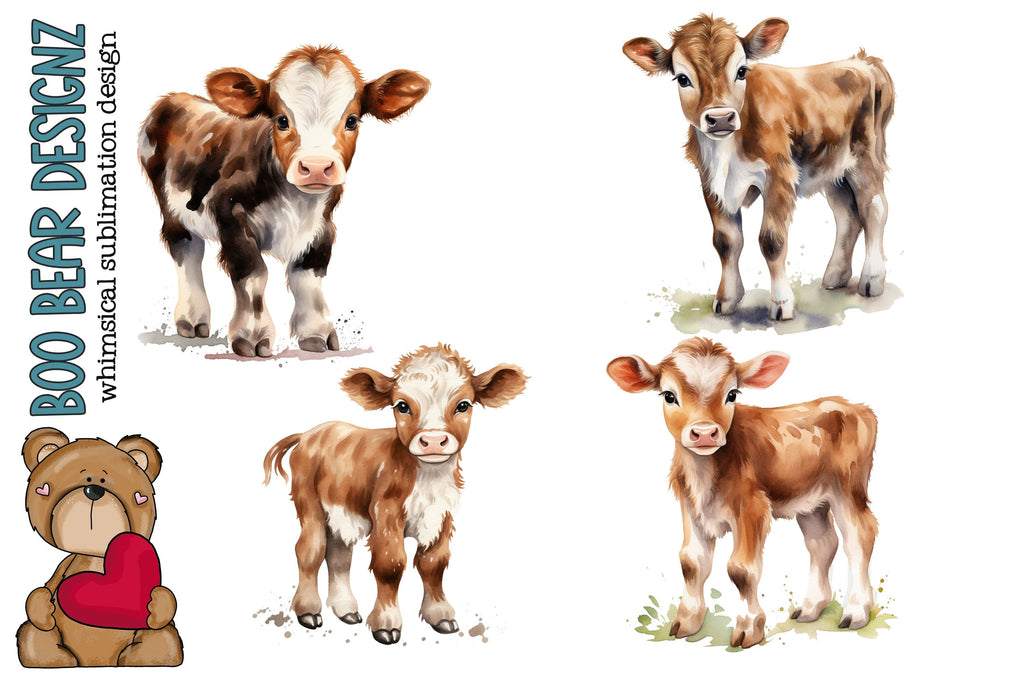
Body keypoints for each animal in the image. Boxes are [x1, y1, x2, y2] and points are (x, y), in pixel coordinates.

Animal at [139, 47, 429, 356]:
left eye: (352, 120)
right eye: (281, 120)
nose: (316, 167)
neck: (298, 205)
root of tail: (175, 97)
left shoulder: (323, 226)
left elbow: (309, 277)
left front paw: (316, 333)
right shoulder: (229, 213)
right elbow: (253, 273)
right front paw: (252, 335)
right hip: (169, 205)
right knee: (186, 248)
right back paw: (192, 319)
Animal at [263, 344, 527, 644]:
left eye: (463, 405)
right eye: (402, 405)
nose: (433, 440)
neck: (428, 478)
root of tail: (309, 433)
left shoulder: (442, 515)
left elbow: (434, 564)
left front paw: (439, 615)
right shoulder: (386, 512)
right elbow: (390, 565)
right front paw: (386, 622)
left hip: (341, 511)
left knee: (339, 554)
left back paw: (346, 610)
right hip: (309, 504)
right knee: (311, 550)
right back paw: (308, 611)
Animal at [607, 337, 878, 648]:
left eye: (732, 394)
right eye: (669, 395)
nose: (704, 433)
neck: (706, 477)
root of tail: (856, 406)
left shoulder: (752, 508)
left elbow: (741, 570)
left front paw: (749, 628)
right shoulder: (690, 507)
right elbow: (691, 562)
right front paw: (687, 621)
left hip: (848, 489)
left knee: (859, 537)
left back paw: (856, 612)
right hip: (811, 501)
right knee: (822, 543)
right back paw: (811, 608)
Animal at [623, 15, 895, 321]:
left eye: (741, 71)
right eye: (682, 78)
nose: (720, 118)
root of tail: (863, 62)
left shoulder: (778, 176)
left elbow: (772, 241)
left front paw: (782, 304)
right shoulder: (710, 182)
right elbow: (726, 241)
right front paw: (727, 299)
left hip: (864, 157)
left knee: (874, 208)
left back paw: (871, 279)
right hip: (833, 170)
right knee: (847, 215)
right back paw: (835, 276)